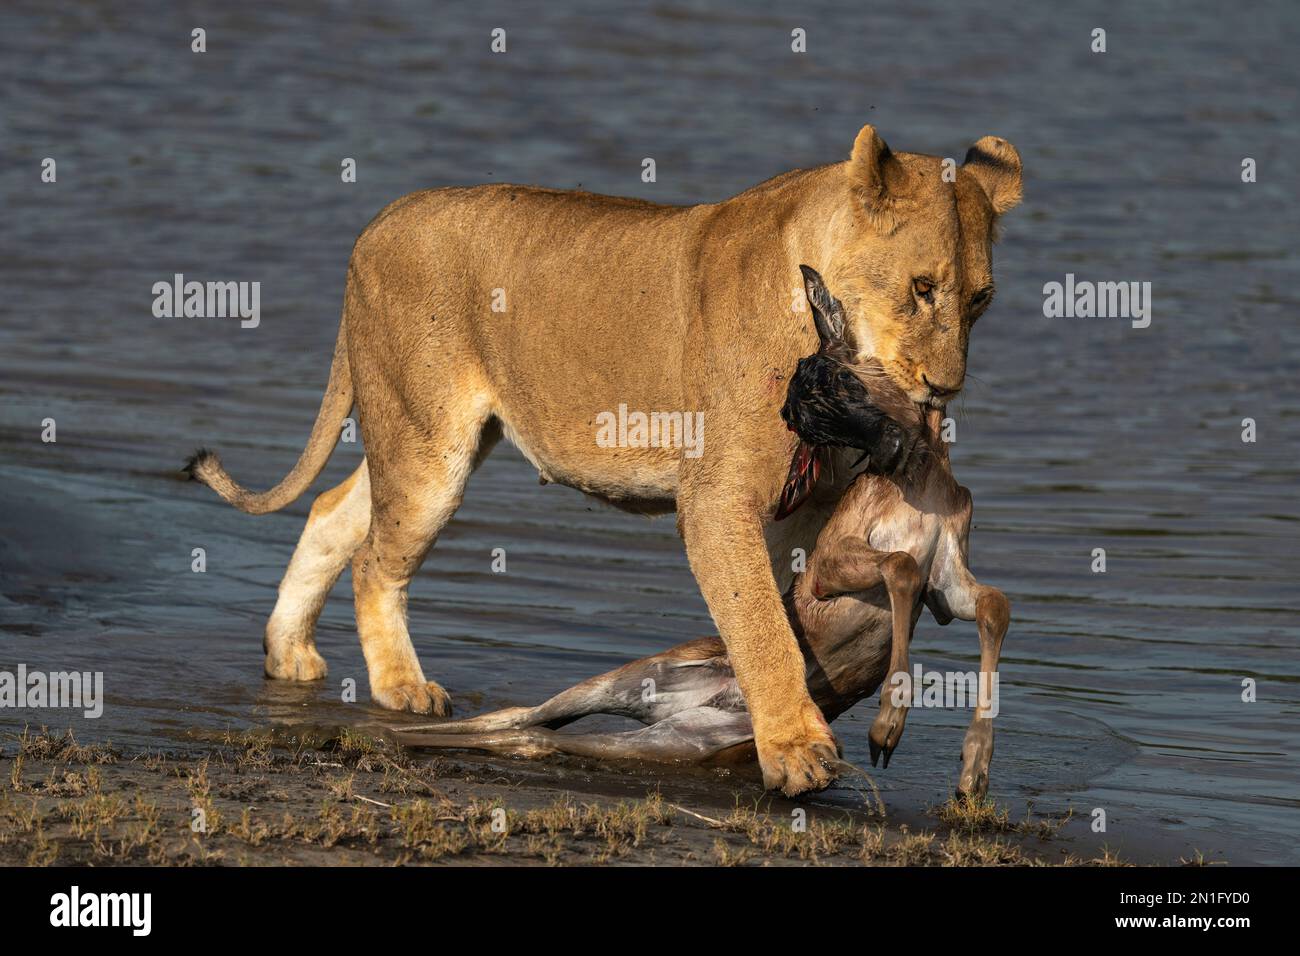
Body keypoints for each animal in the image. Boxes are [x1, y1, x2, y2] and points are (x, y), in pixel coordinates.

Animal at [186, 124, 1022, 796]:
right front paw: (794, 748)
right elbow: (760, 624)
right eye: (922, 288)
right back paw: (403, 686)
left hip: (421, 436)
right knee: (372, 560)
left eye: (981, 300)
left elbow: (784, 614)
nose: (945, 388)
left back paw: (288, 653)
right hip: (429, 450)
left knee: (334, 512)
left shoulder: (811, 510)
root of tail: (383, 218)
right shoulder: (716, 501)